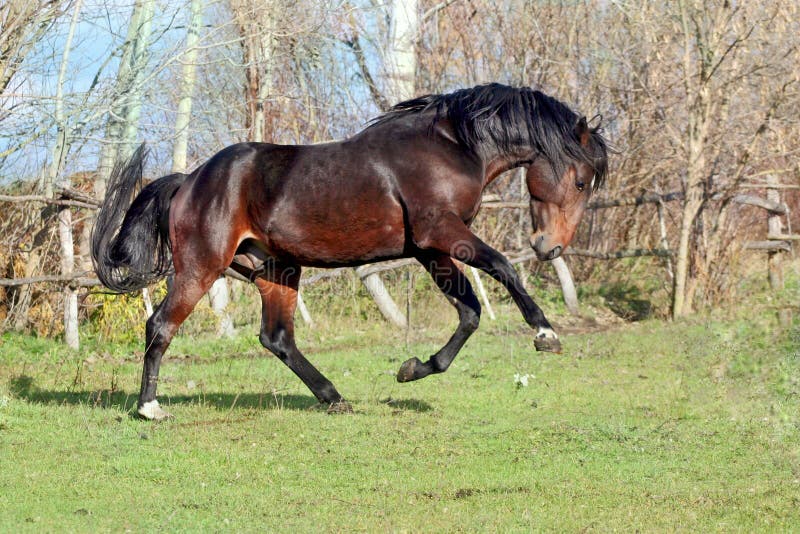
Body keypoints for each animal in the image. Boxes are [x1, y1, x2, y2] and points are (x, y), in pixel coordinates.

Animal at [91, 83, 609, 420]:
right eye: (581, 181)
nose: (550, 247)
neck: (449, 147)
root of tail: (189, 181)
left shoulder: (430, 249)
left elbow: (470, 311)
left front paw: (412, 369)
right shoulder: (444, 233)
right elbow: (502, 269)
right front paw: (545, 333)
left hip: (277, 270)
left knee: (277, 338)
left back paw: (334, 397)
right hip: (201, 268)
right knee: (160, 325)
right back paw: (149, 408)